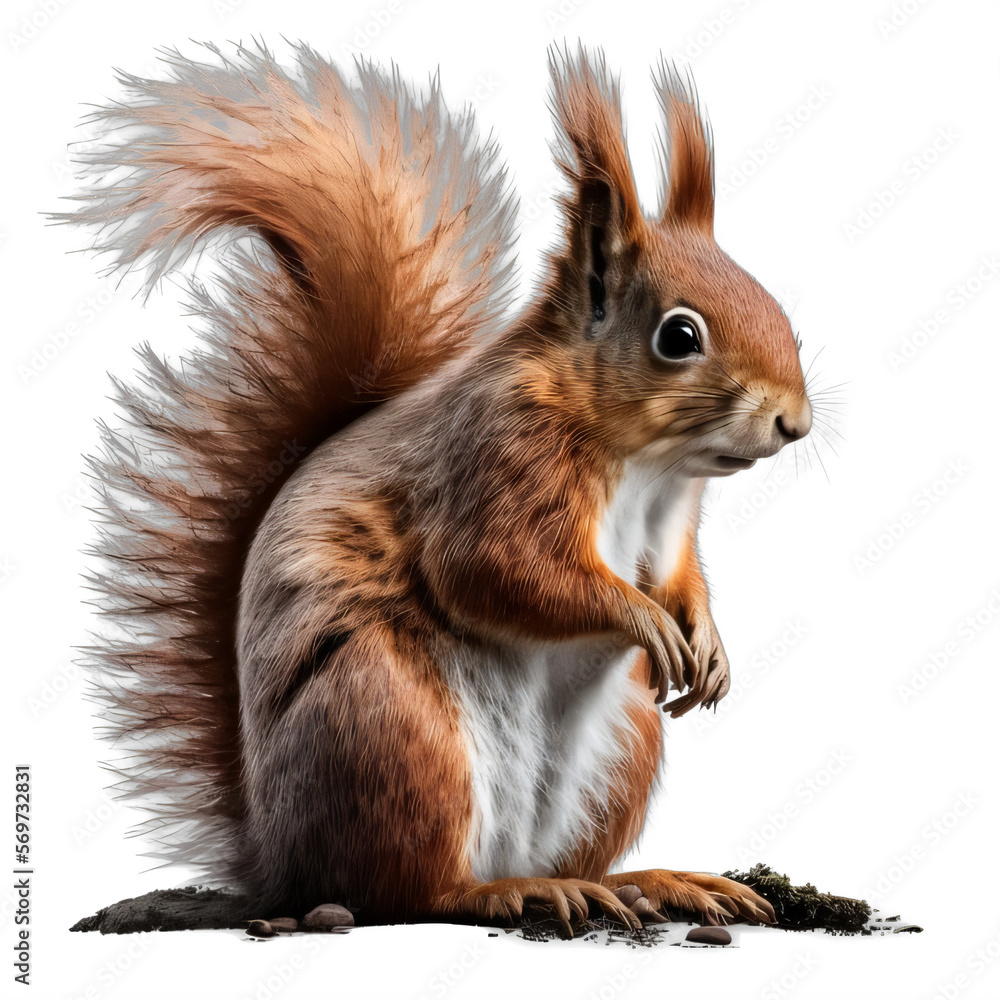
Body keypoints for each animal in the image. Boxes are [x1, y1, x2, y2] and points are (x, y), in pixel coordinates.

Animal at [63, 42, 810, 935]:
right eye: (679, 335)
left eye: (778, 309)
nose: (795, 422)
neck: (647, 462)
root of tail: (278, 867)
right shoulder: (495, 458)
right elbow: (497, 570)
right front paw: (640, 620)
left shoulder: (670, 522)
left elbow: (679, 579)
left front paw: (710, 645)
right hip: (390, 725)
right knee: (406, 891)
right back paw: (508, 891)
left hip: (625, 742)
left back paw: (649, 881)